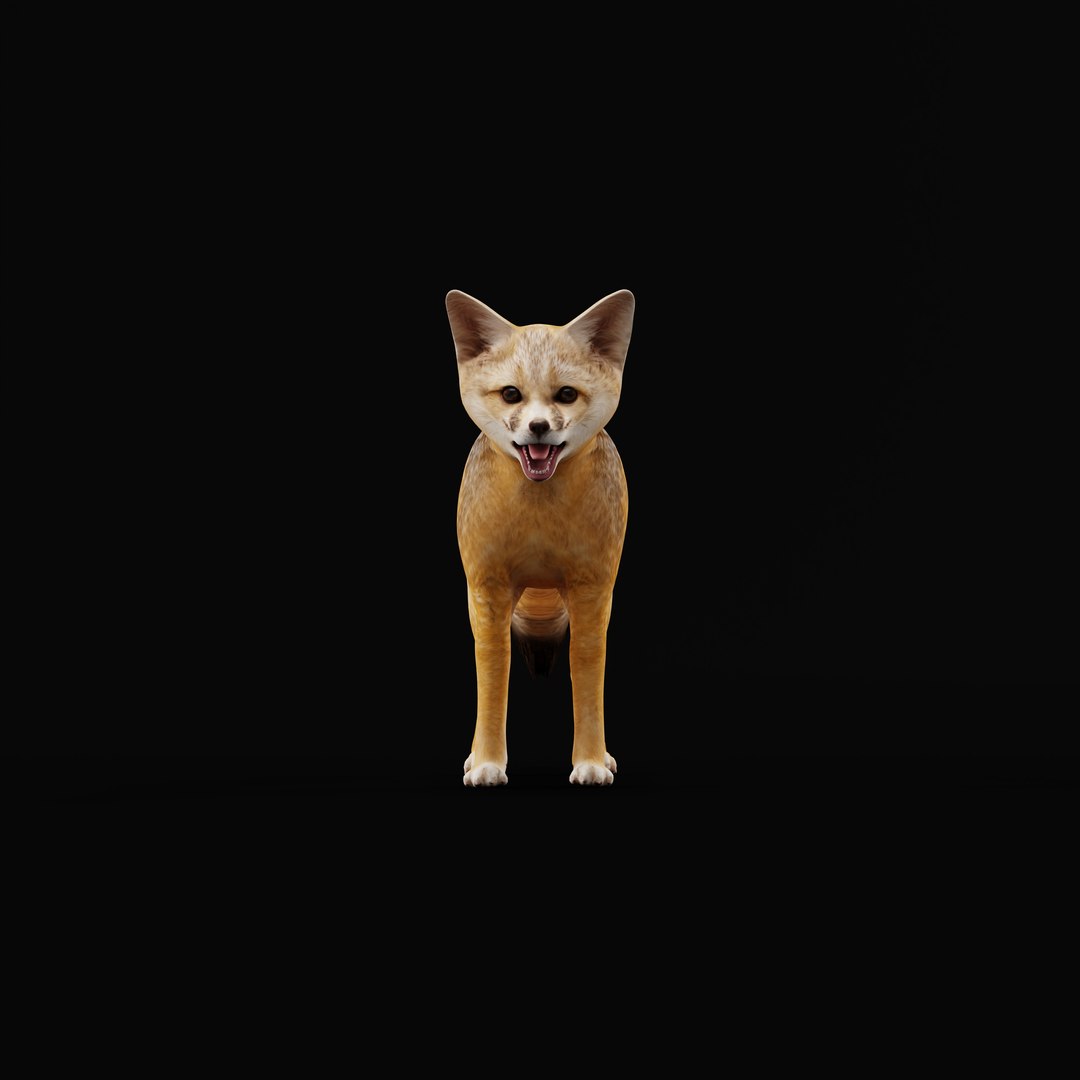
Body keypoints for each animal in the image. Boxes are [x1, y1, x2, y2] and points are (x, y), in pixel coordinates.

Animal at [447, 288, 635, 787]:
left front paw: (590, 761)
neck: (538, 522)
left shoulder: (592, 590)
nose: (538, 428)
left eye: (566, 395)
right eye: (511, 394)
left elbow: (587, 677)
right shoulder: (487, 590)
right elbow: (493, 679)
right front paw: (487, 761)